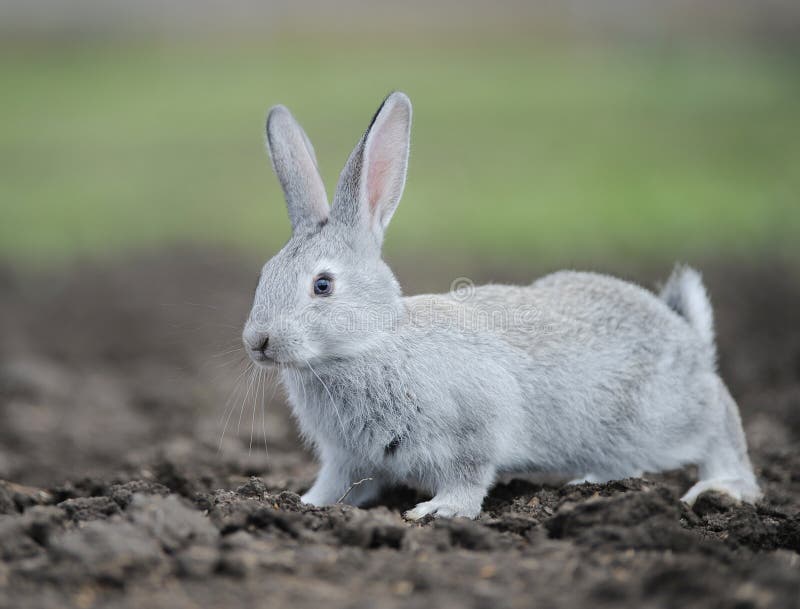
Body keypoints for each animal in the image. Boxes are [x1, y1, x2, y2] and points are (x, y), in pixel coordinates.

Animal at [241, 91, 761, 519]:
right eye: (264, 274)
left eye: (323, 285)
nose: (257, 341)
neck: (373, 343)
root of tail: (687, 334)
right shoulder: (346, 458)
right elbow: (338, 484)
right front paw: (307, 503)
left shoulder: (473, 430)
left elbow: (469, 476)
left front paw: (440, 511)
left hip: (668, 417)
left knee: (720, 421)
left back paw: (724, 489)